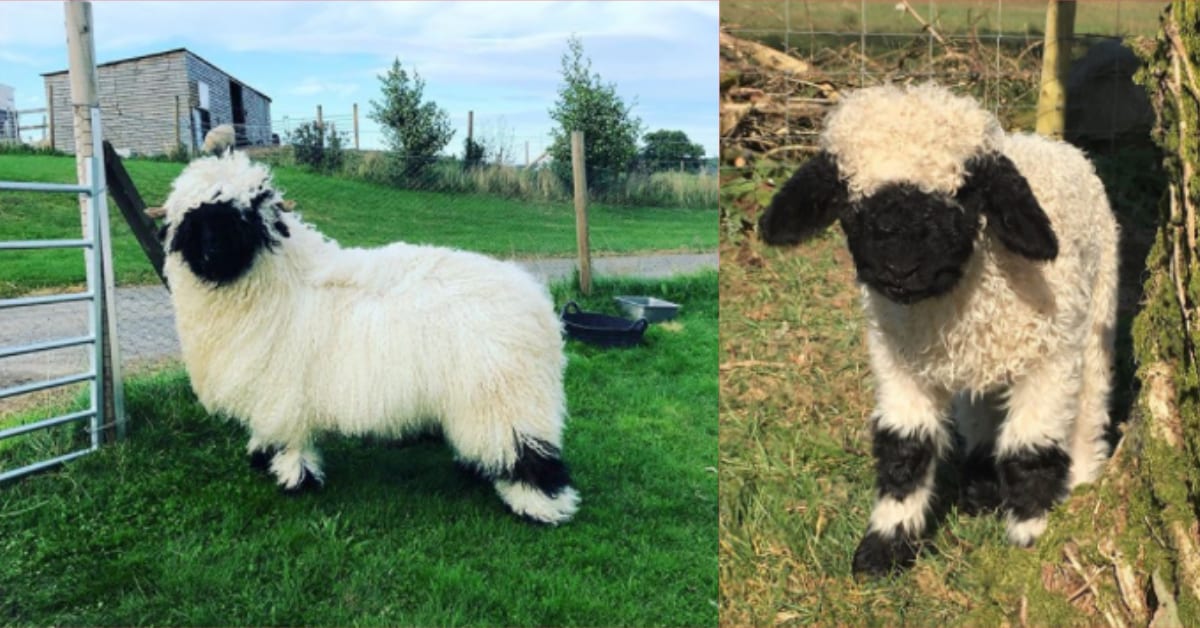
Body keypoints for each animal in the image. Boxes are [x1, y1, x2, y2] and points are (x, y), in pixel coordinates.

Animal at [157, 150, 580, 524]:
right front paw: (262, 456)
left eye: (240, 218)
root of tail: (536, 303)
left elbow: (292, 439)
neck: (277, 283)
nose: (211, 254)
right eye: (194, 221)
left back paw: (541, 507)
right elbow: (268, 431)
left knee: (528, 451)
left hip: (506, 393)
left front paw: (296, 478)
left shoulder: (284, 389)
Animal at [758, 83, 1119, 576]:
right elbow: (904, 447)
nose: (899, 269)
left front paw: (1031, 538)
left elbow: (1030, 451)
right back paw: (981, 488)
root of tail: (1049, 143)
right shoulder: (898, 362)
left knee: (1090, 404)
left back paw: (1082, 479)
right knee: (979, 408)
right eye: (849, 199)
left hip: (1097, 306)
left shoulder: (1050, 359)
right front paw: (884, 547)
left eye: (966, 192)